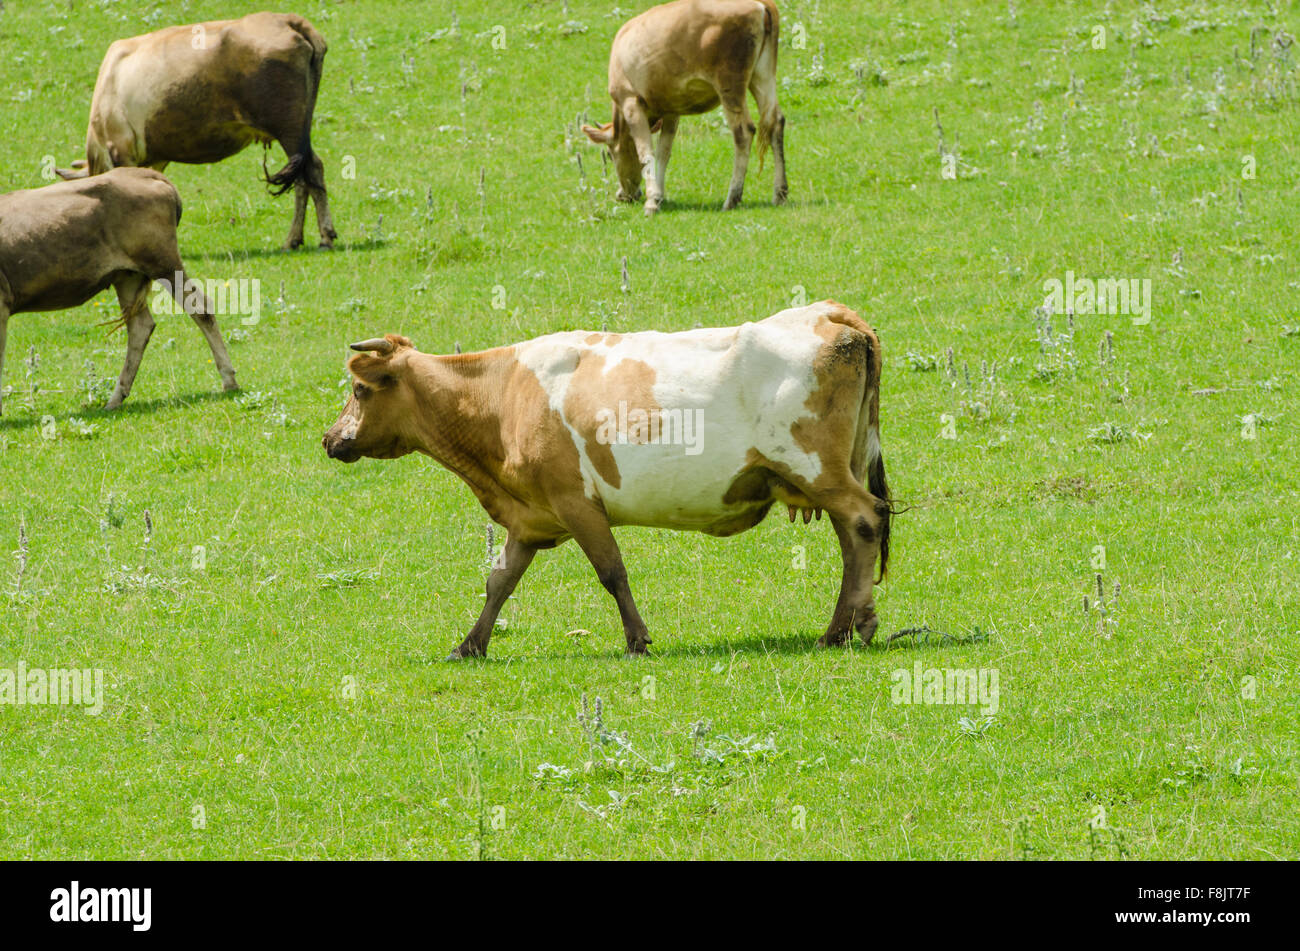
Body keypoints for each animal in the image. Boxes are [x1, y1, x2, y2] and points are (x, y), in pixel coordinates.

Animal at [0, 167, 239, 413]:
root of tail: (143, 173)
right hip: (127, 276)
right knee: (140, 327)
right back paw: (116, 398)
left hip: (162, 262)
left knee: (201, 308)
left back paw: (229, 380)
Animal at [56, 12, 336, 250]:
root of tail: (288, 20)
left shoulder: (122, 149)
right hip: (300, 127)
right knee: (313, 170)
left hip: (288, 128)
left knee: (306, 174)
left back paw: (306, 238)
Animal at [322, 300, 889, 660]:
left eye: (359, 388)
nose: (330, 438)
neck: (504, 396)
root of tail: (828, 311)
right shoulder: (530, 518)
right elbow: (499, 581)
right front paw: (469, 645)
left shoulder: (575, 501)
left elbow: (612, 571)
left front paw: (637, 640)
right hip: (832, 469)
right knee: (852, 537)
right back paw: (842, 626)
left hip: (814, 466)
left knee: (865, 519)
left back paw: (852, 626)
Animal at [582, 0, 788, 215]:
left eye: (610, 155)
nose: (623, 195)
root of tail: (761, 4)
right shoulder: (672, 110)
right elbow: (663, 152)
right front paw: (659, 195)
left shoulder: (631, 101)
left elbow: (646, 152)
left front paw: (651, 201)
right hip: (762, 76)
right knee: (776, 122)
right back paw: (780, 194)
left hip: (730, 84)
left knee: (744, 132)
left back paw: (732, 198)